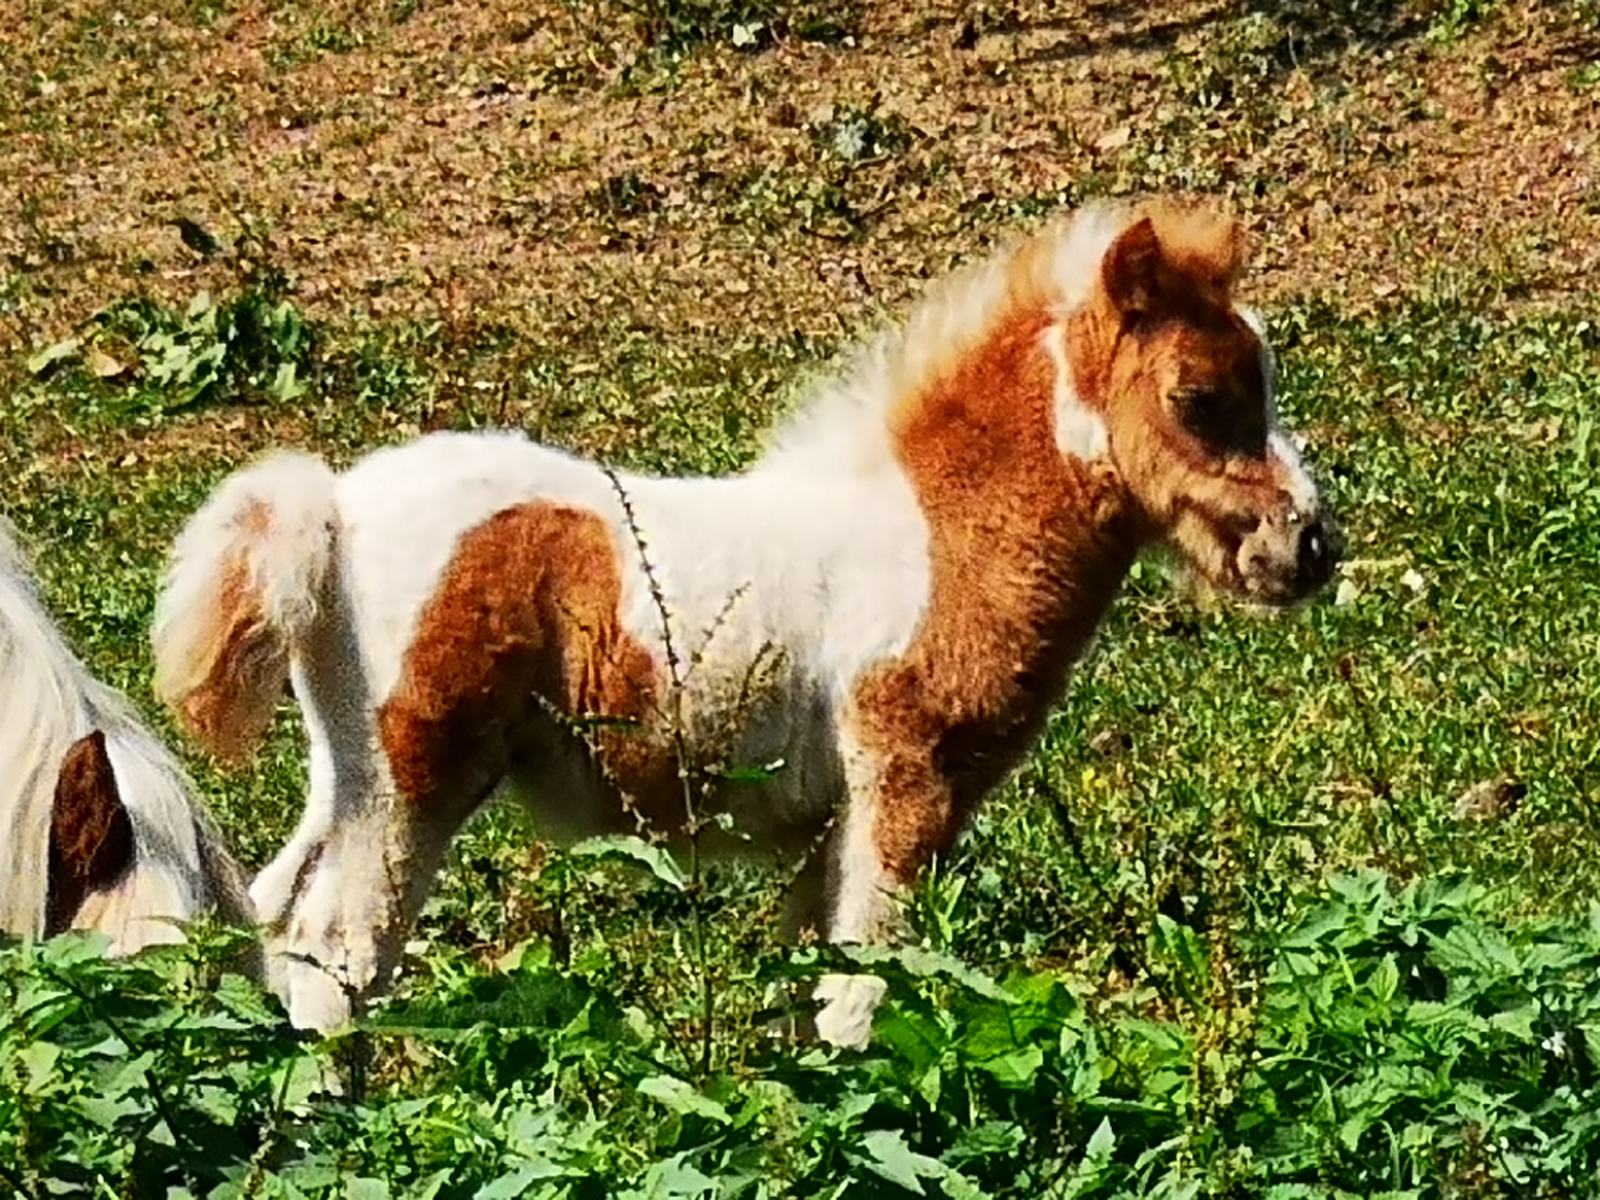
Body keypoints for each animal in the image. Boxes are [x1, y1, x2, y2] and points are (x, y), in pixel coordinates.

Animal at [152, 200, 1335, 1041]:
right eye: (1200, 397)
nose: (1310, 548)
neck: (935, 538)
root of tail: (334, 508)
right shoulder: (905, 786)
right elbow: (865, 991)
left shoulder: (828, 825)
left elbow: (811, 985)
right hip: (412, 777)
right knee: (337, 954)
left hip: (345, 776)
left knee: (271, 919)